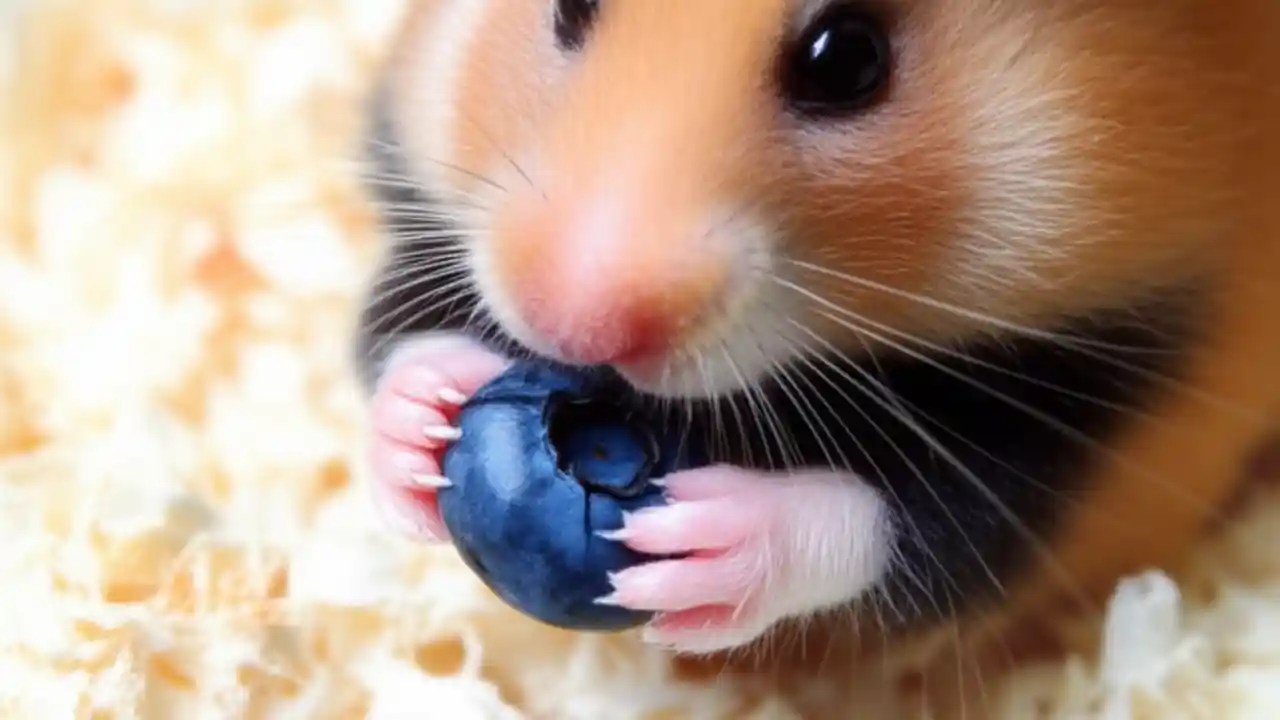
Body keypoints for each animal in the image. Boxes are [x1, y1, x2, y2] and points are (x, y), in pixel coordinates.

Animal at [354, 0, 1280, 659]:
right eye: (570, 3)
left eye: (848, 58)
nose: (578, 328)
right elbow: (388, 328)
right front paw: (422, 418)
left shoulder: (1098, 411)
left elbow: (929, 524)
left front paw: (697, 547)